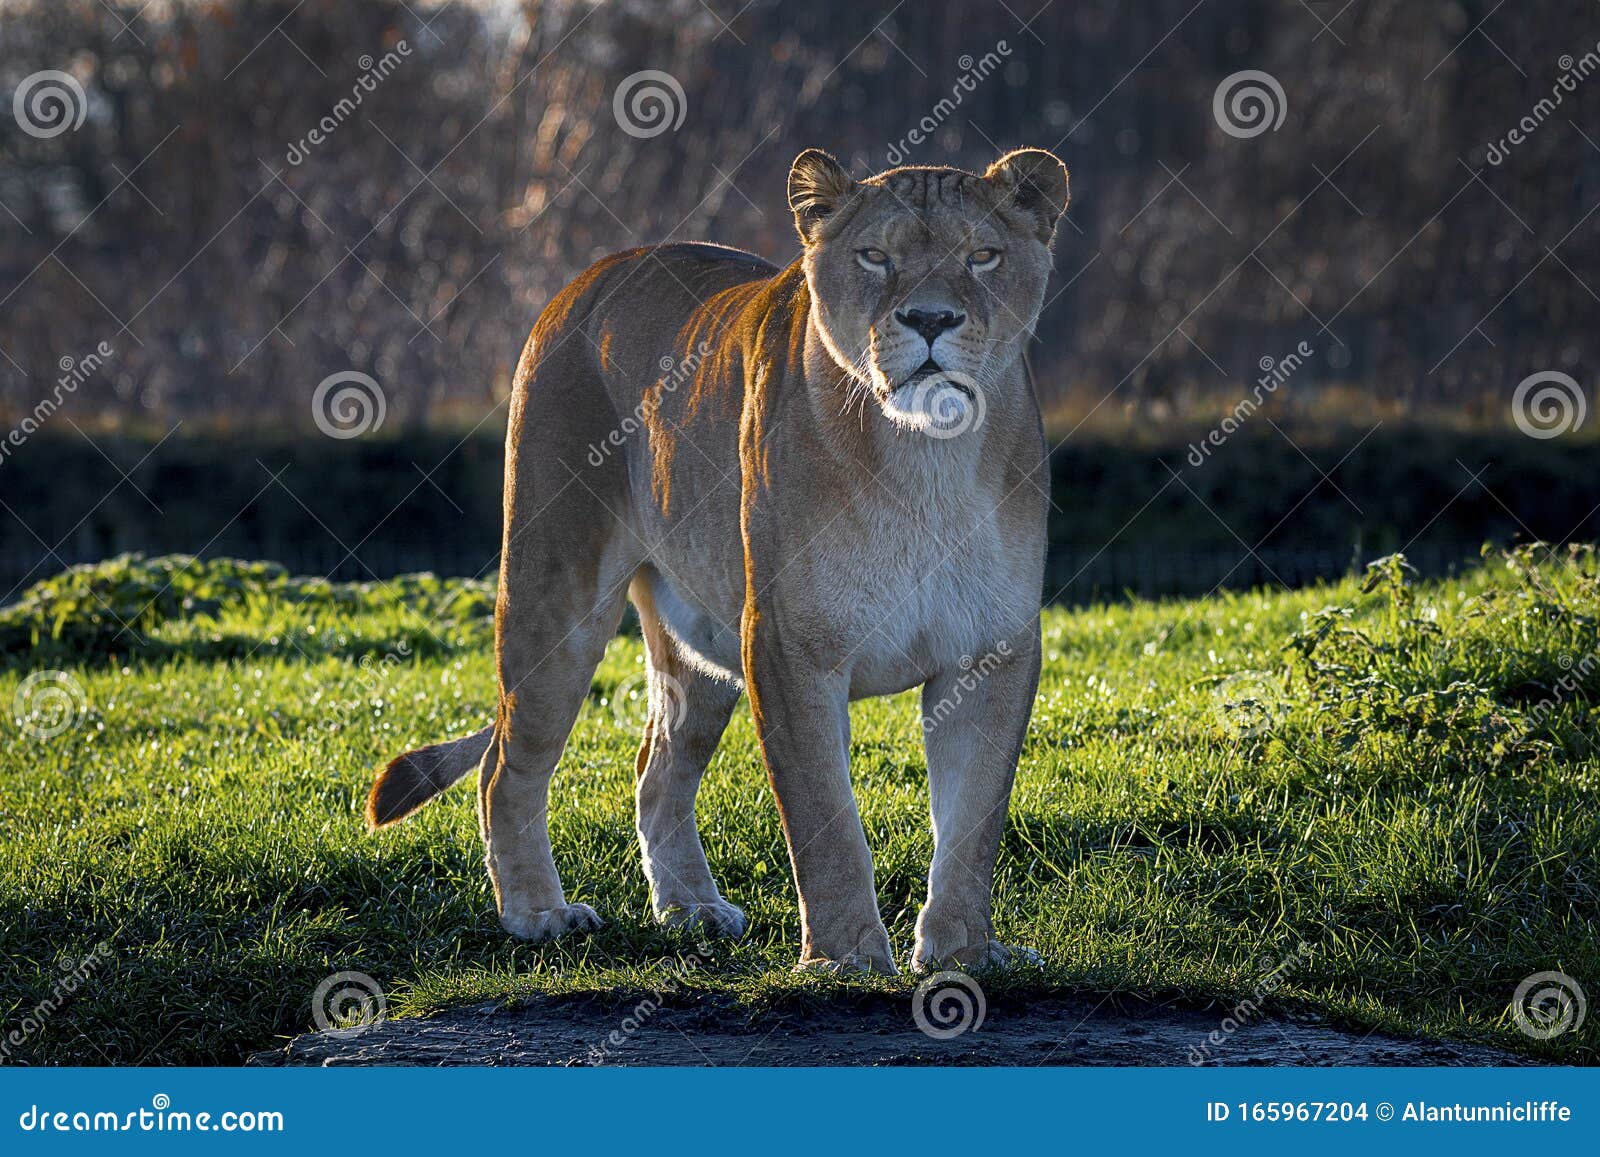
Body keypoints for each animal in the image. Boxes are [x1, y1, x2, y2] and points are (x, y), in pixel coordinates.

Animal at [367, 147, 1069, 973]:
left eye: (982, 256)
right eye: (875, 257)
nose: (931, 319)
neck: (927, 457)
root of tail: (583, 279)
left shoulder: (992, 649)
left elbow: (973, 822)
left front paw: (964, 954)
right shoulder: (791, 646)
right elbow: (826, 818)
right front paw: (845, 958)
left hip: (696, 651)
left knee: (655, 773)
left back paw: (692, 909)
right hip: (553, 597)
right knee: (506, 764)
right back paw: (538, 913)